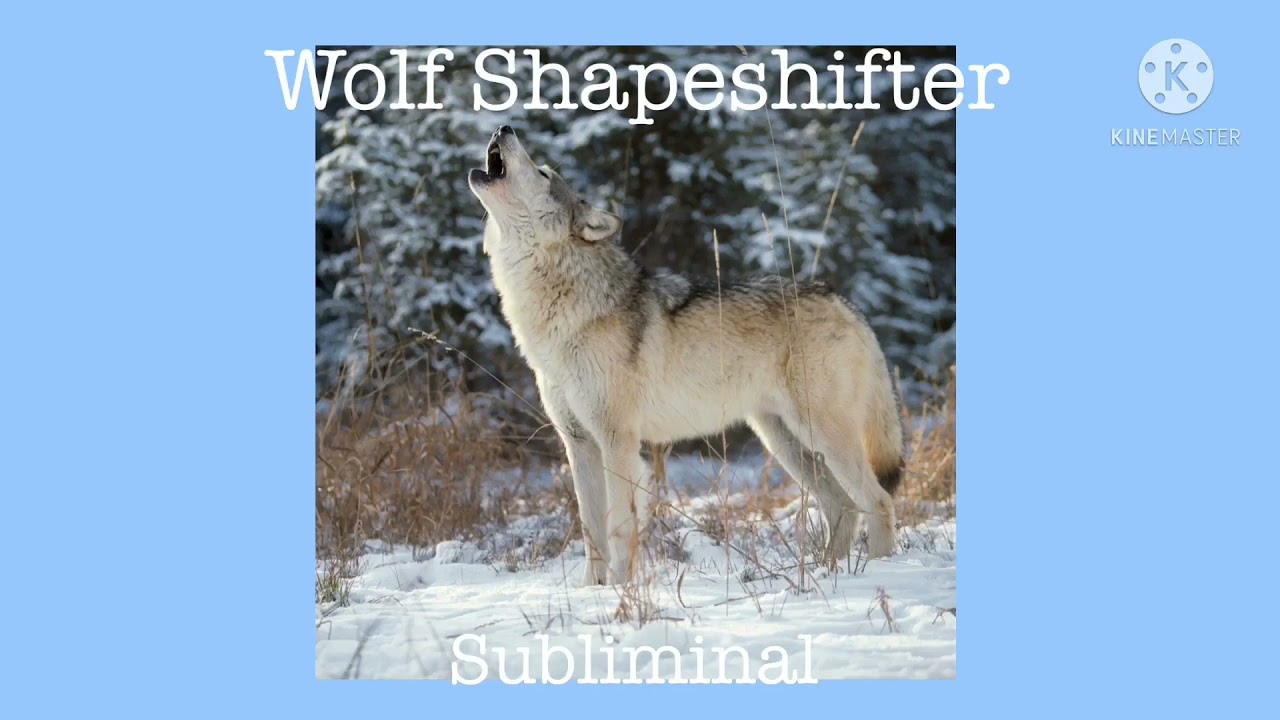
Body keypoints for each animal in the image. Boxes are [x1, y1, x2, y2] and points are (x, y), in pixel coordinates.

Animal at [468, 126, 904, 586]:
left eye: (543, 173)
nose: (503, 129)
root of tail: (846, 303)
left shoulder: (617, 441)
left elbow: (618, 526)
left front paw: (620, 590)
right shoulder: (579, 444)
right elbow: (591, 533)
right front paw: (592, 590)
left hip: (821, 435)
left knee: (878, 500)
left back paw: (878, 573)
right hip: (785, 442)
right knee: (843, 505)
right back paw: (825, 573)